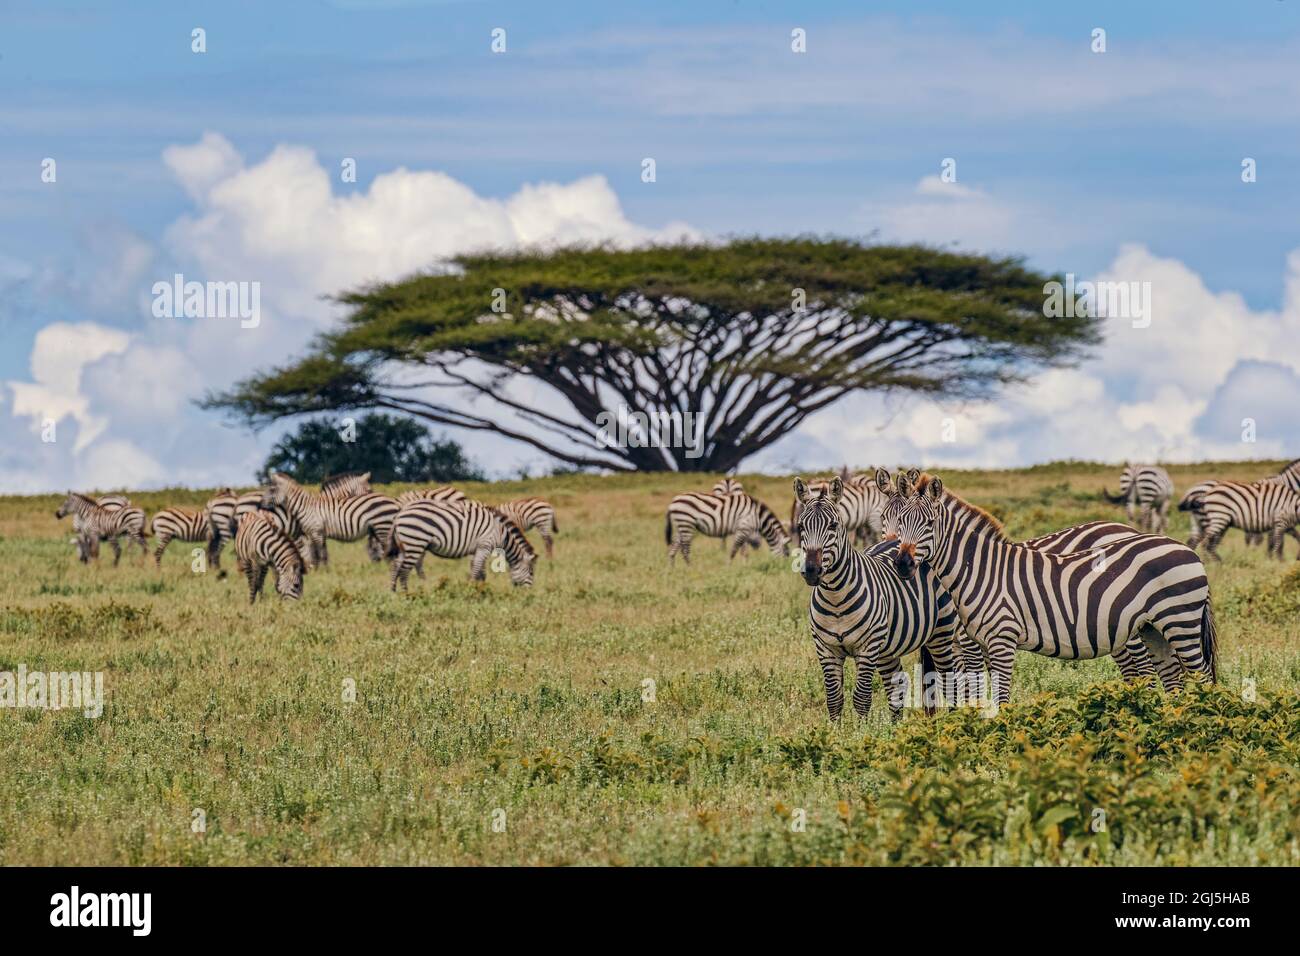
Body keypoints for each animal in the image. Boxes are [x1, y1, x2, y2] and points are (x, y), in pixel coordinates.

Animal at [387, 499, 537, 591]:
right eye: (531, 572)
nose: (528, 593)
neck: (502, 534)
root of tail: (401, 512)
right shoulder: (484, 546)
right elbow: (476, 570)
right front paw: (471, 590)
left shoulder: (477, 549)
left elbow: (479, 571)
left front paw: (480, 588)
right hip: (415, 542)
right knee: (404, 570)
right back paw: (407, 595)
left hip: (405, 545)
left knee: (396, 565)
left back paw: (394, 592)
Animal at [793, 475, 963, 722]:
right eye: (801, 526)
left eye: (833, 525)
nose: (812, 571)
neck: (835, 598)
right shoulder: (826, 649)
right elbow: (834, 700)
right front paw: (835, 732)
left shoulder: (867, 647)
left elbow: (862, 699)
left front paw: (862, 732)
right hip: (888, 648)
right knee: (897, 685)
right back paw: (895, 727)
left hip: (941, 632)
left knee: (949, 679)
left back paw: (955, 719)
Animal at [884, 470, 1217, 706]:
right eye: (894, 520)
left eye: (928, 523)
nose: (901, 563)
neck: (978, 568)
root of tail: (1187, 551)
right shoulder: (980, 641)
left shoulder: (998, 638)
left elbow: (995, 697)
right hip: (1153, 627)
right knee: (1172, 677)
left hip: (1179, 621)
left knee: (1197, 676)